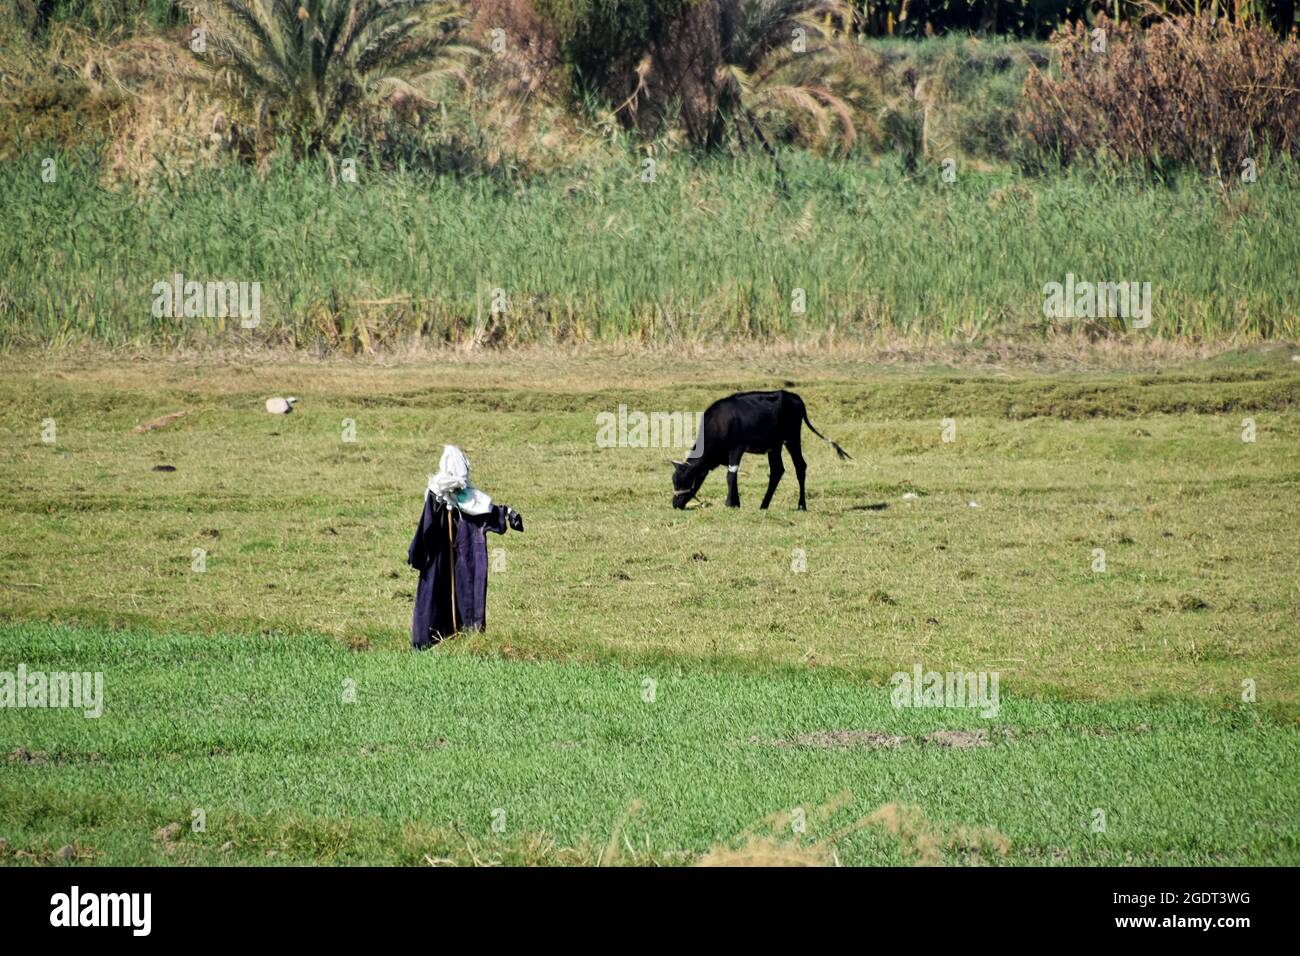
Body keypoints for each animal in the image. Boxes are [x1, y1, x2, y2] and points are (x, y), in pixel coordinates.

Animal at [670, 390, 850, 510]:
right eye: (674, 480)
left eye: (685, 480)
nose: (675, 503)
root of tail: (794, 397)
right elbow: (733, 475)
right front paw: (735, 502)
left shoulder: (736, 448)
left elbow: (730, 475)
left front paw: (730, 503)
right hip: (775, 445)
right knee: (777, 470)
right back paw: (764, 505)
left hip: (792, 438)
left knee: (800, 466)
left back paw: (801, 505)